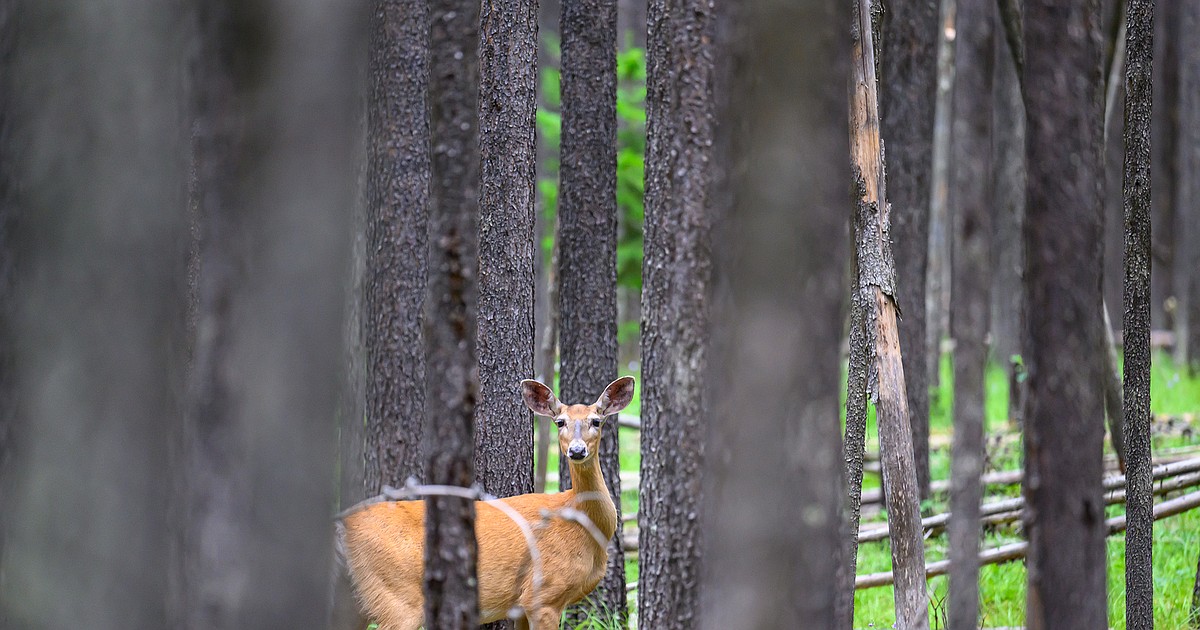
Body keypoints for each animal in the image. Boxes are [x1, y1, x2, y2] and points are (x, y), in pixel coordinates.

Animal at [338, 376, 634, 630]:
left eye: (596, 421)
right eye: (560, 422)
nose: (576, 450)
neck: (583, 521)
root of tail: (341, 526)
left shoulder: (520, 607)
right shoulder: (543, 594)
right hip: (397, 597)